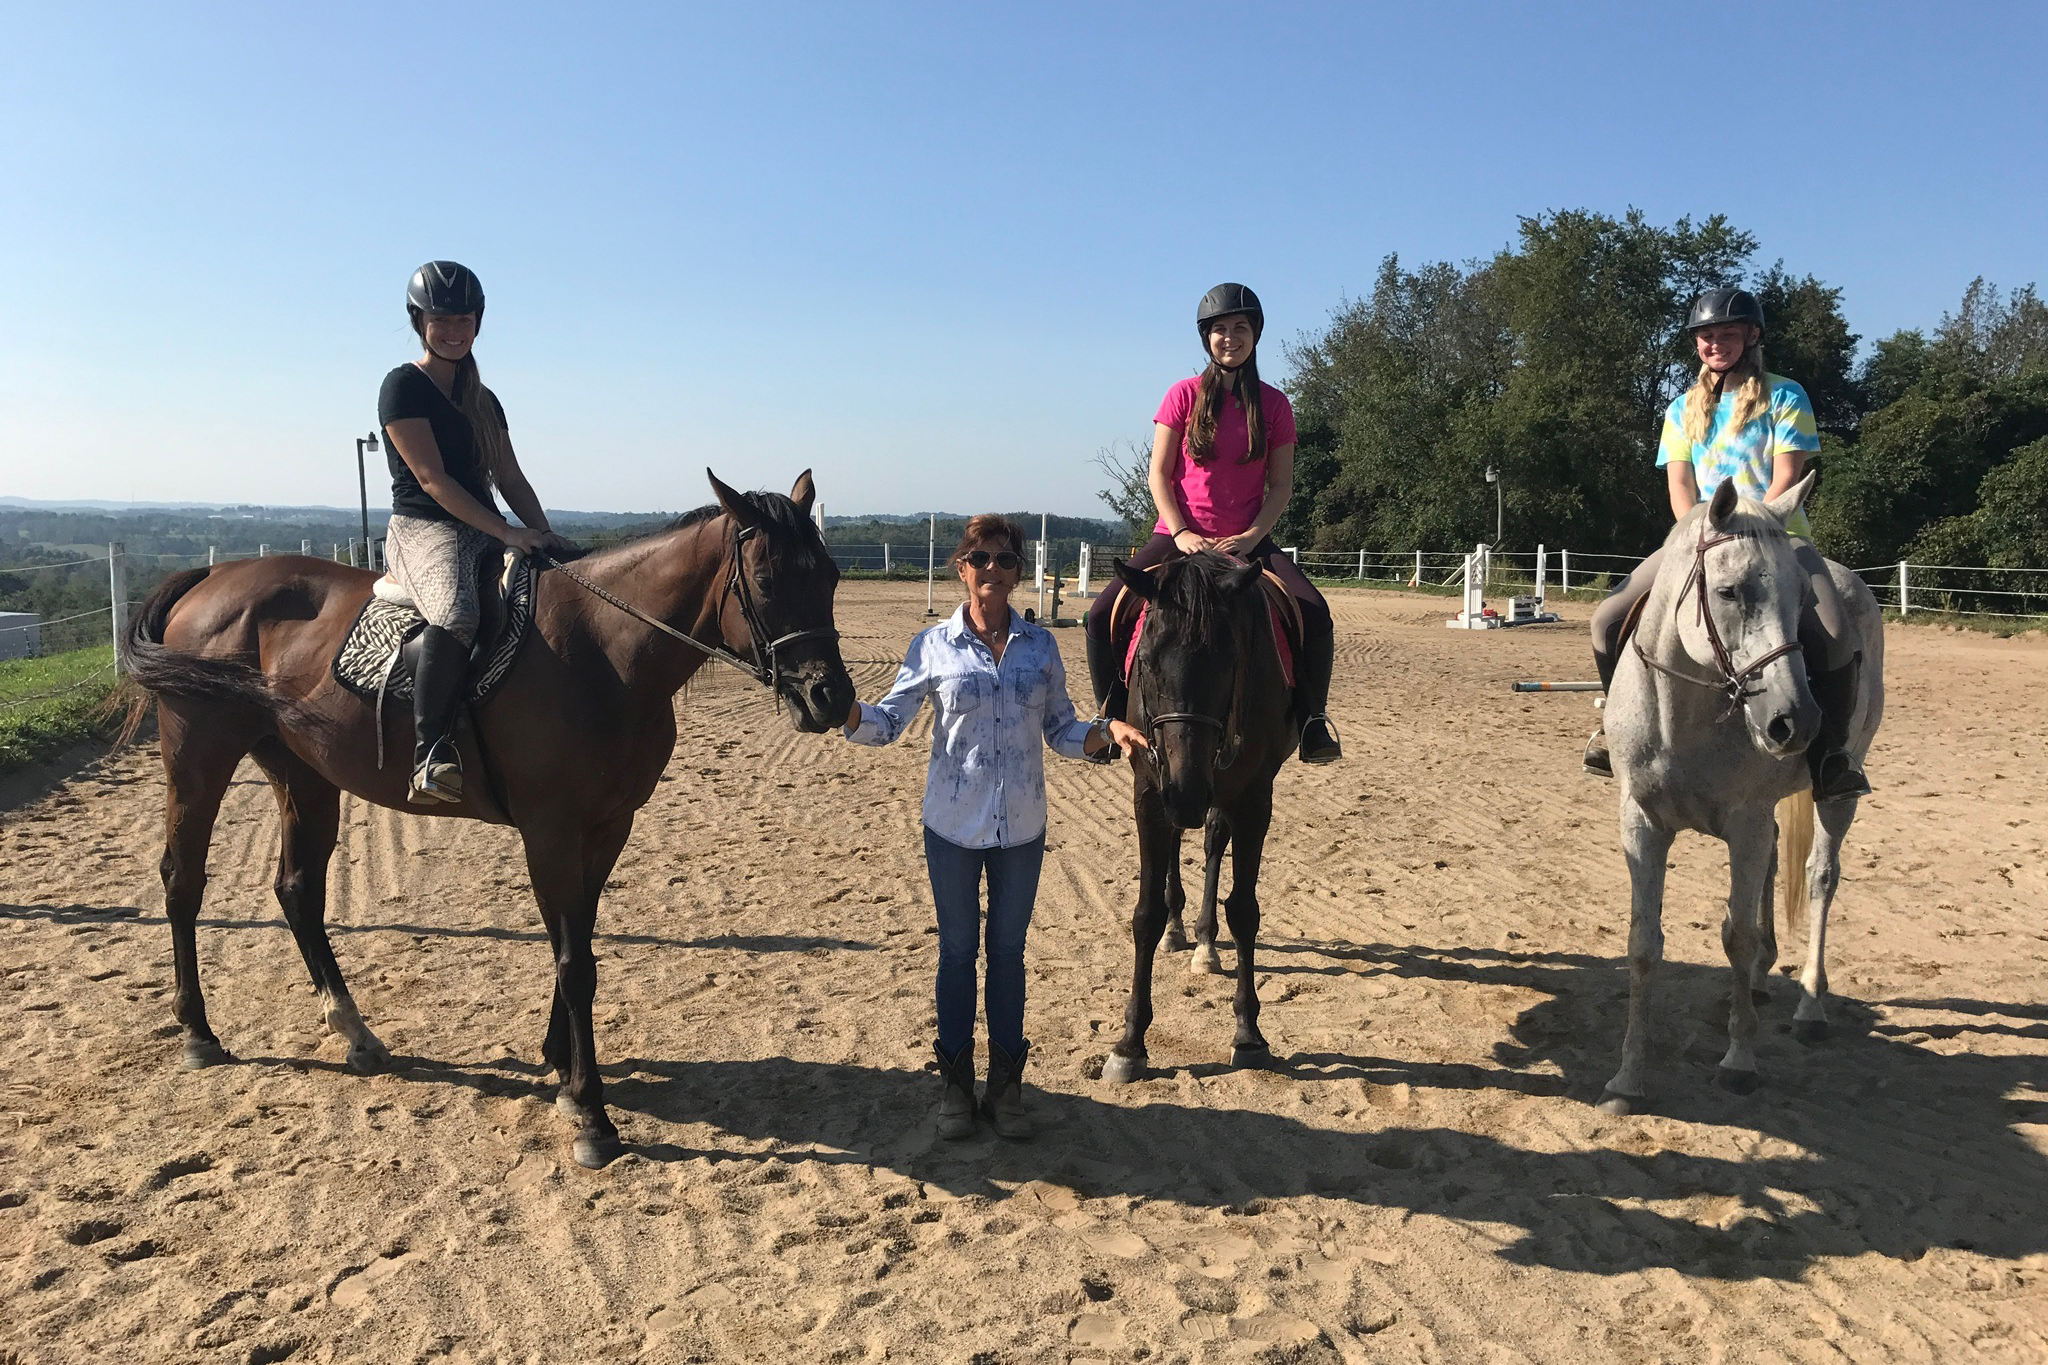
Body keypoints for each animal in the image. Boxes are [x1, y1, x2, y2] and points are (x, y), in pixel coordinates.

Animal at [119, 471, 853, 1167]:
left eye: (831, 574)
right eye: (766, 579)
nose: (831, 698)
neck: (602, 651)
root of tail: (213, 577)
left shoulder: (608, 826)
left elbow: (575, 940)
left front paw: (561, 1066)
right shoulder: (551, 829)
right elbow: (574, 961)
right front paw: (592, 1114)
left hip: (304, 774)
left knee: (298, 889)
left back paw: (354, 1031)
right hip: (199, 757)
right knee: (183, 880)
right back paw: (199, 1031)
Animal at [1099, 552, 1297, 1083]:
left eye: (1230, 660)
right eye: (1146, 660)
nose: (1185, 792)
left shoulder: (1254, 799)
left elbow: (1245, 912)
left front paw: (1249, 1034)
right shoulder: (1150, 793)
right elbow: (1144, 914)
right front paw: (1130, 1044)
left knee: (1211, 843)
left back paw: (1206, 944)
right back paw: (1178, 931)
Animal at [1598, 473, 1884, 1114]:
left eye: (1802, 602)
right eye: (1729, 592)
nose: (1796, 722)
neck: (1685, 717)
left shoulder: (1745, 823)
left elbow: (1737, 934)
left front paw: (1739, 1062)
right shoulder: (1641, 823)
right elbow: (1643, 944)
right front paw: (1627, 1079)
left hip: (1839, 793)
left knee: (1820, 876)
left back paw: (1809, 1007)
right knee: (1779, 859)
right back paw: (1757, 984)